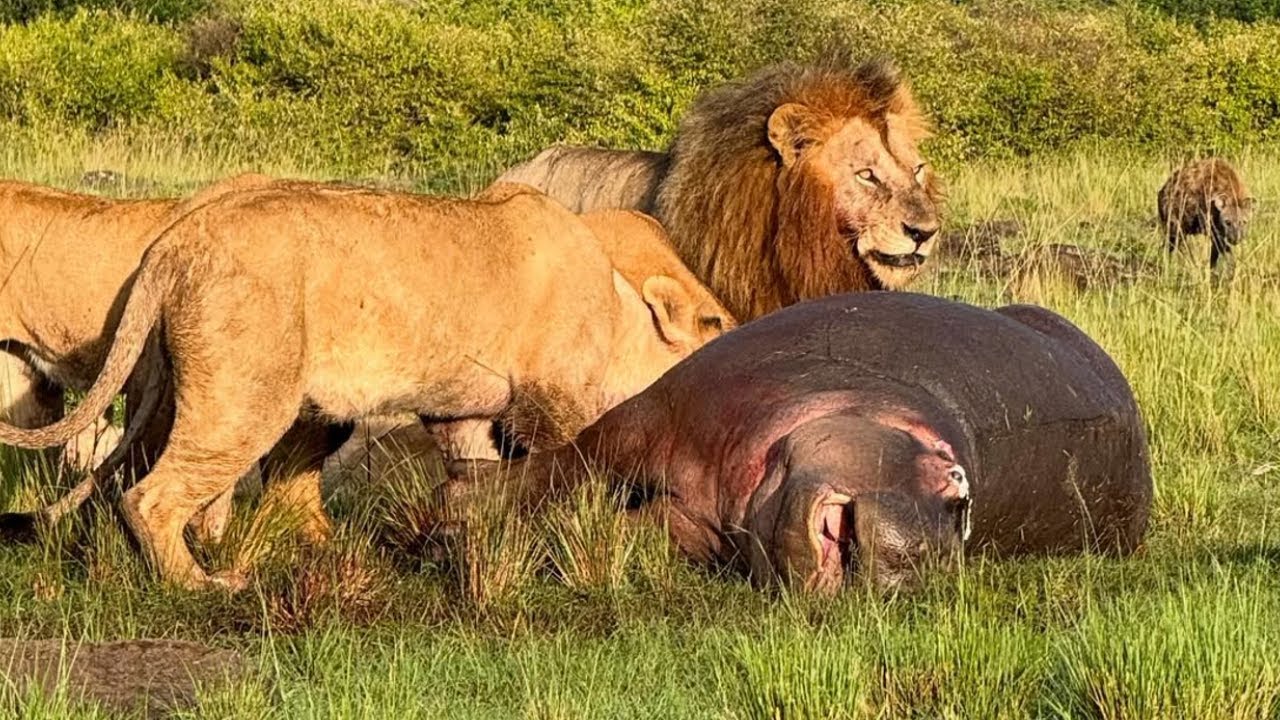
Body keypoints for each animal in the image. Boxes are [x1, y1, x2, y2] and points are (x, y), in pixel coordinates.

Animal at [0, 181, 729, 589]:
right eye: (718, 323)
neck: (619, 310)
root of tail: (172, 245)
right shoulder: (554, 399)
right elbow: (573, 475)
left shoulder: (462, 413)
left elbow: (480, 477)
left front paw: (470, 541)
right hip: (248, 393)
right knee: (152, 495)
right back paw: (201, 584)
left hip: (167, 386)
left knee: (128, 477)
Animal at [449, 293, 1152, 592]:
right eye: (956, 488)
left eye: (968, 519)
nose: (931, 561)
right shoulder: (653, 414)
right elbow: (564, 467)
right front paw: (461, 504)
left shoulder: (695, 518)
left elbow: (617, 520)